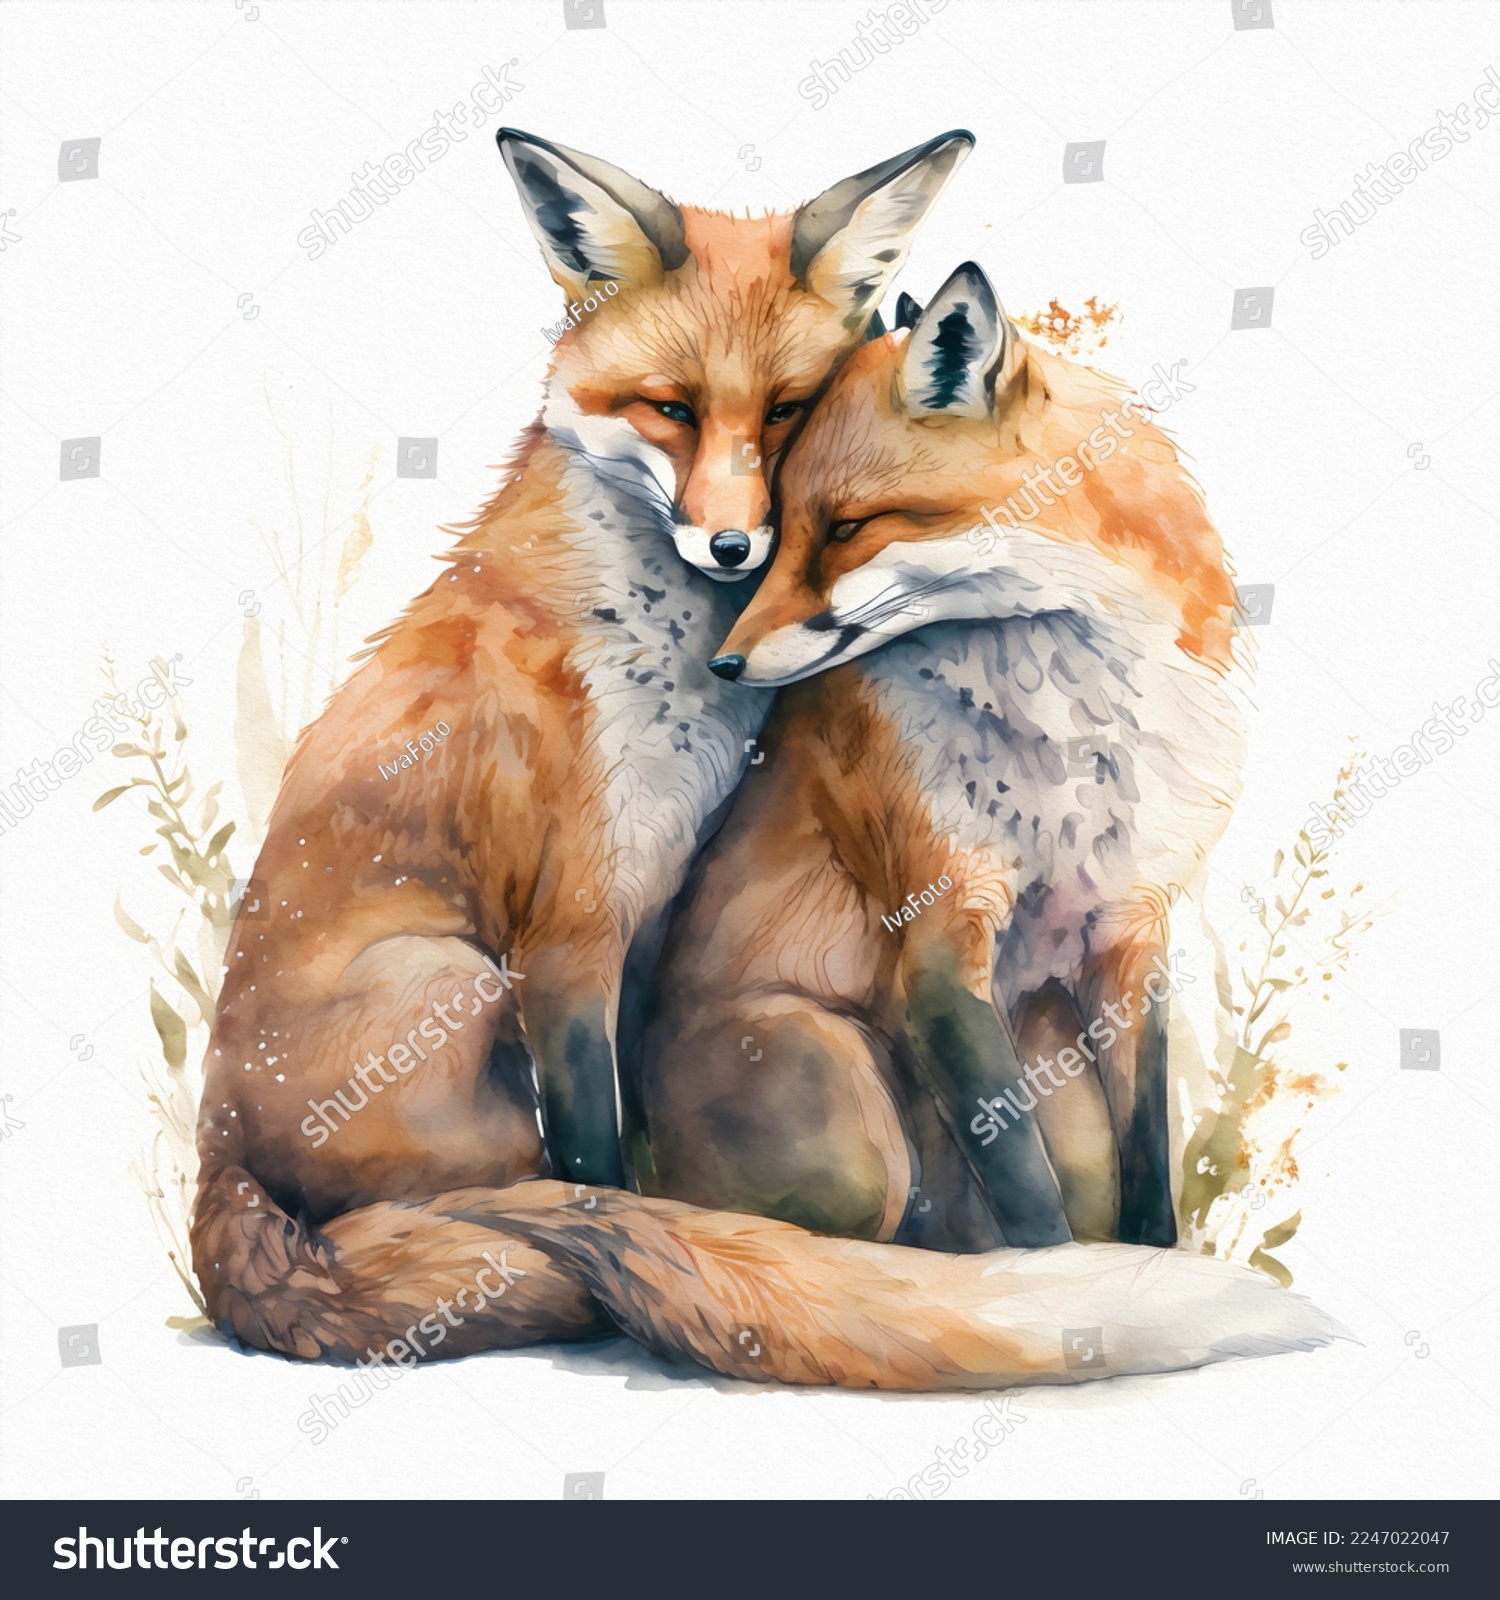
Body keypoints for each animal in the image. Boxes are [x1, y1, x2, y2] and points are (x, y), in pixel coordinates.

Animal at [189, 127, 976, 1362]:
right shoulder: (567, 931)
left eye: (789, 412)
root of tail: (214, 1154)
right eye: (671, 408)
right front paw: (639, 1264)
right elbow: (595, 1158)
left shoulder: (647, 908)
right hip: (460, 984)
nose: (735, 546)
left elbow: (638, 1116)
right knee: (439, 1204)